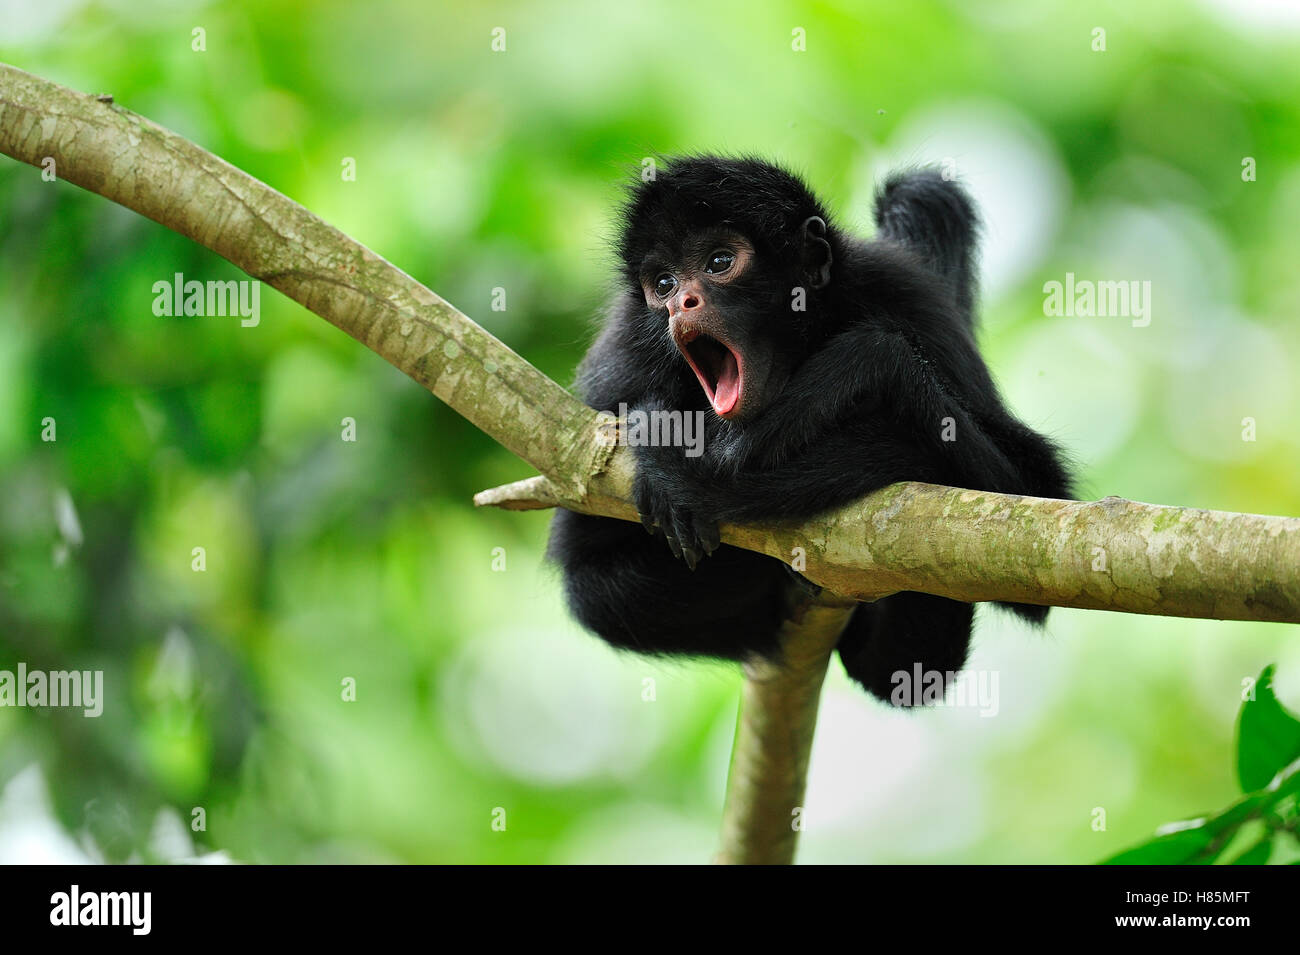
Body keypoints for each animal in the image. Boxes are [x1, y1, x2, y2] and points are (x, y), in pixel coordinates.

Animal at [546, 155, 1073, 704]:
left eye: (719, 262)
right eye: (664, 284)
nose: (681, 303)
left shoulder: (905, 294)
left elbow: (1034, 498)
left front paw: (844, 373)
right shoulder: (627, 354)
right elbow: (584, 569)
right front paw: (666, 435)